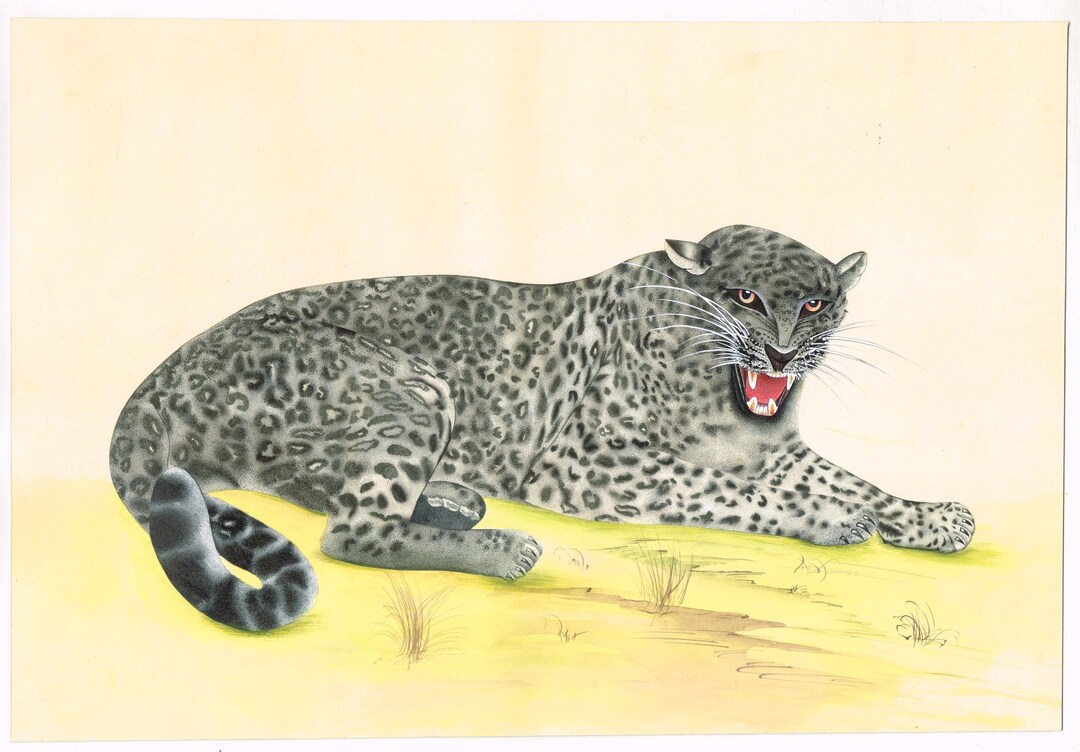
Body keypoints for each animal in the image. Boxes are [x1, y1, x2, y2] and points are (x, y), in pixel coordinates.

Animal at [109, 224, 975, 631]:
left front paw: (936, 518)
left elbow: (847, 476)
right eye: (745, 298)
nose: (785, 352)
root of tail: (169, 368)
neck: (726, 400)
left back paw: (456, 501)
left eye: (818, 303)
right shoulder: (592, 468)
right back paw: (502, 547)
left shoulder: (775, 451)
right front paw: (831, 521)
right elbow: (730, 496)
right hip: (412, 389)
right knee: (353, 530)